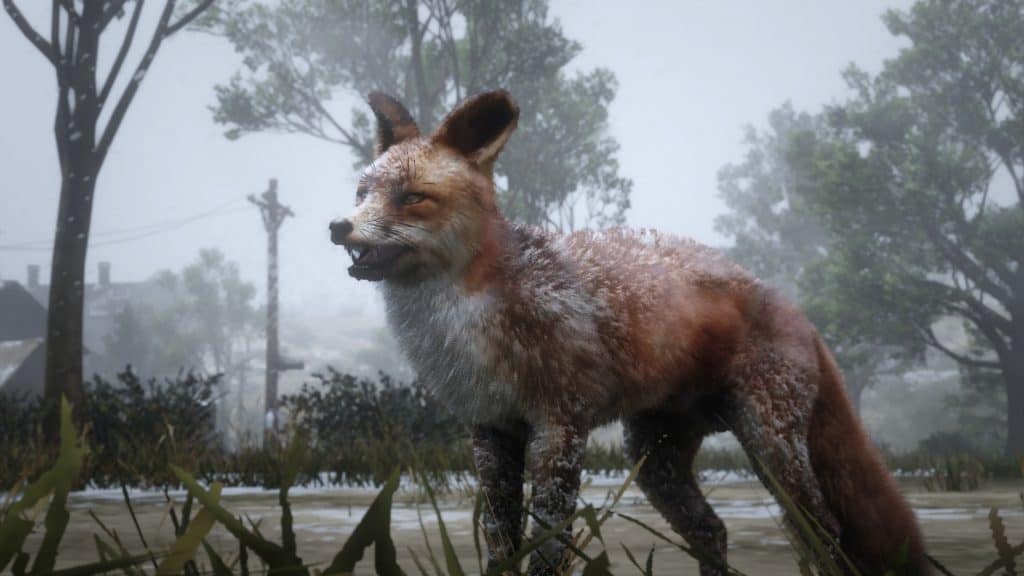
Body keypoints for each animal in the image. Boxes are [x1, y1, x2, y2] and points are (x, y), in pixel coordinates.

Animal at [329, 90, 933, 576]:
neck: (465, 329)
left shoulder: (559, 427)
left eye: (412, 197)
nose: (338, 226)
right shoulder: (491, 429)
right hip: (654, 458)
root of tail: (792, 306)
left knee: (827, 530)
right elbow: (501, 545)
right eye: (362, 192)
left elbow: (548, 545)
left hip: (770, 447)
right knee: (713, 529)